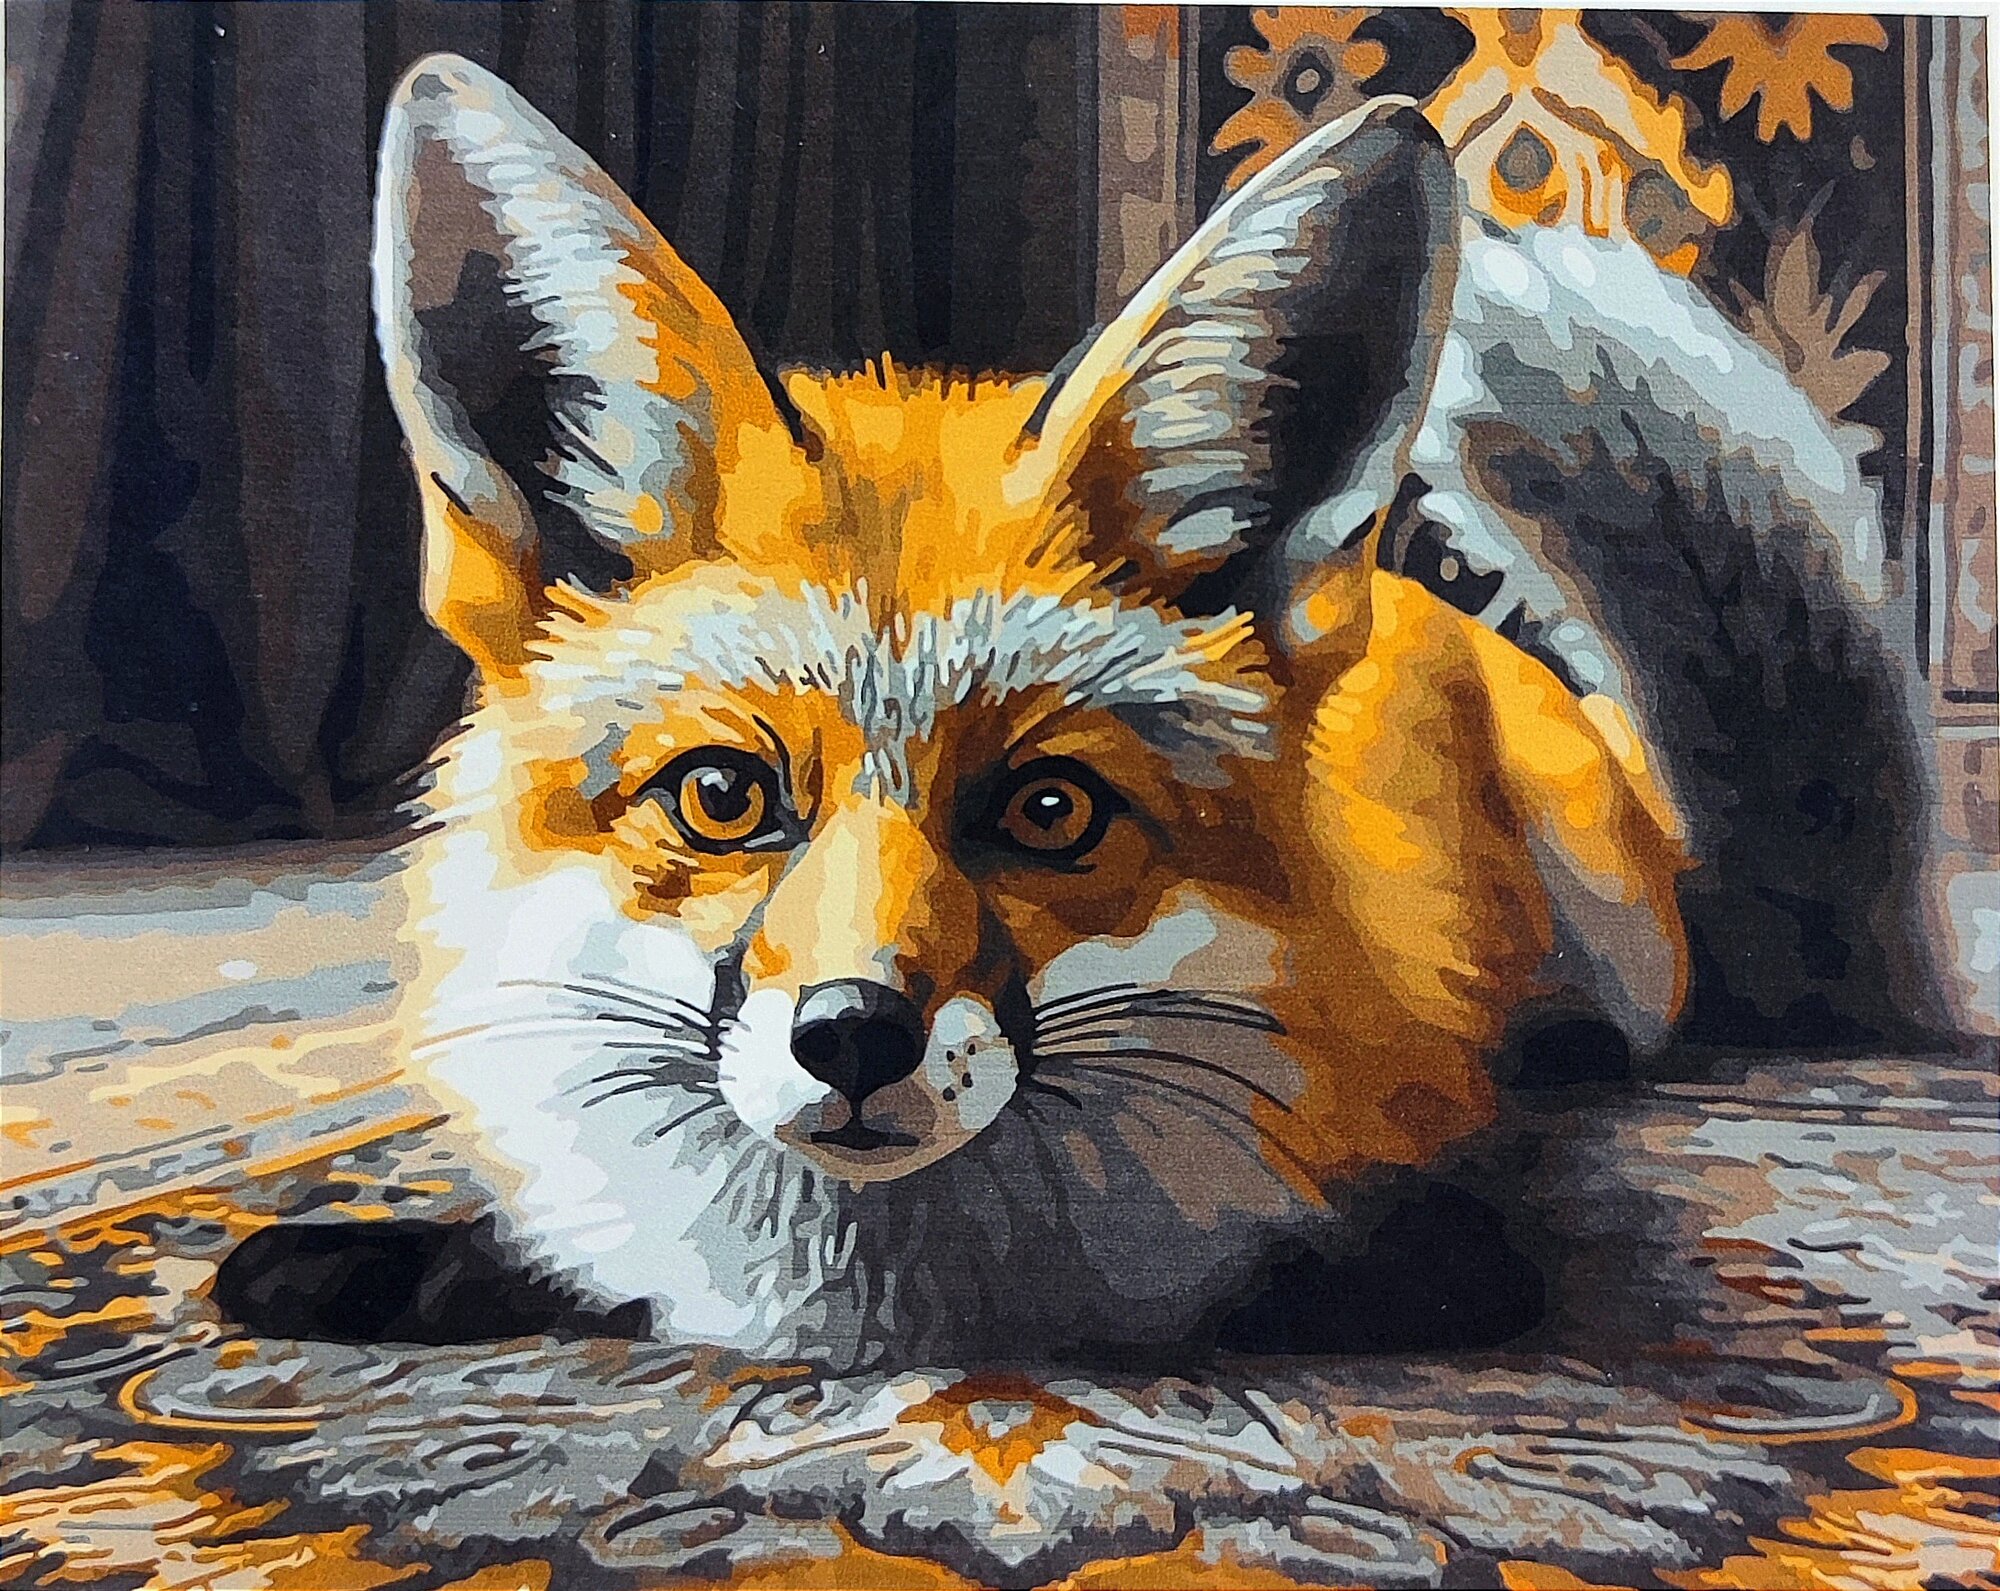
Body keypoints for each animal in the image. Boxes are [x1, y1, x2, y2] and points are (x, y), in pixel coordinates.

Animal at [372, 56, 1920, 1367]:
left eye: (1050, 808)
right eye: (720, 795)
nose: (856, 1035)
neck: (890, 1309)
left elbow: (1359, 1272)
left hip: (1611, 918)